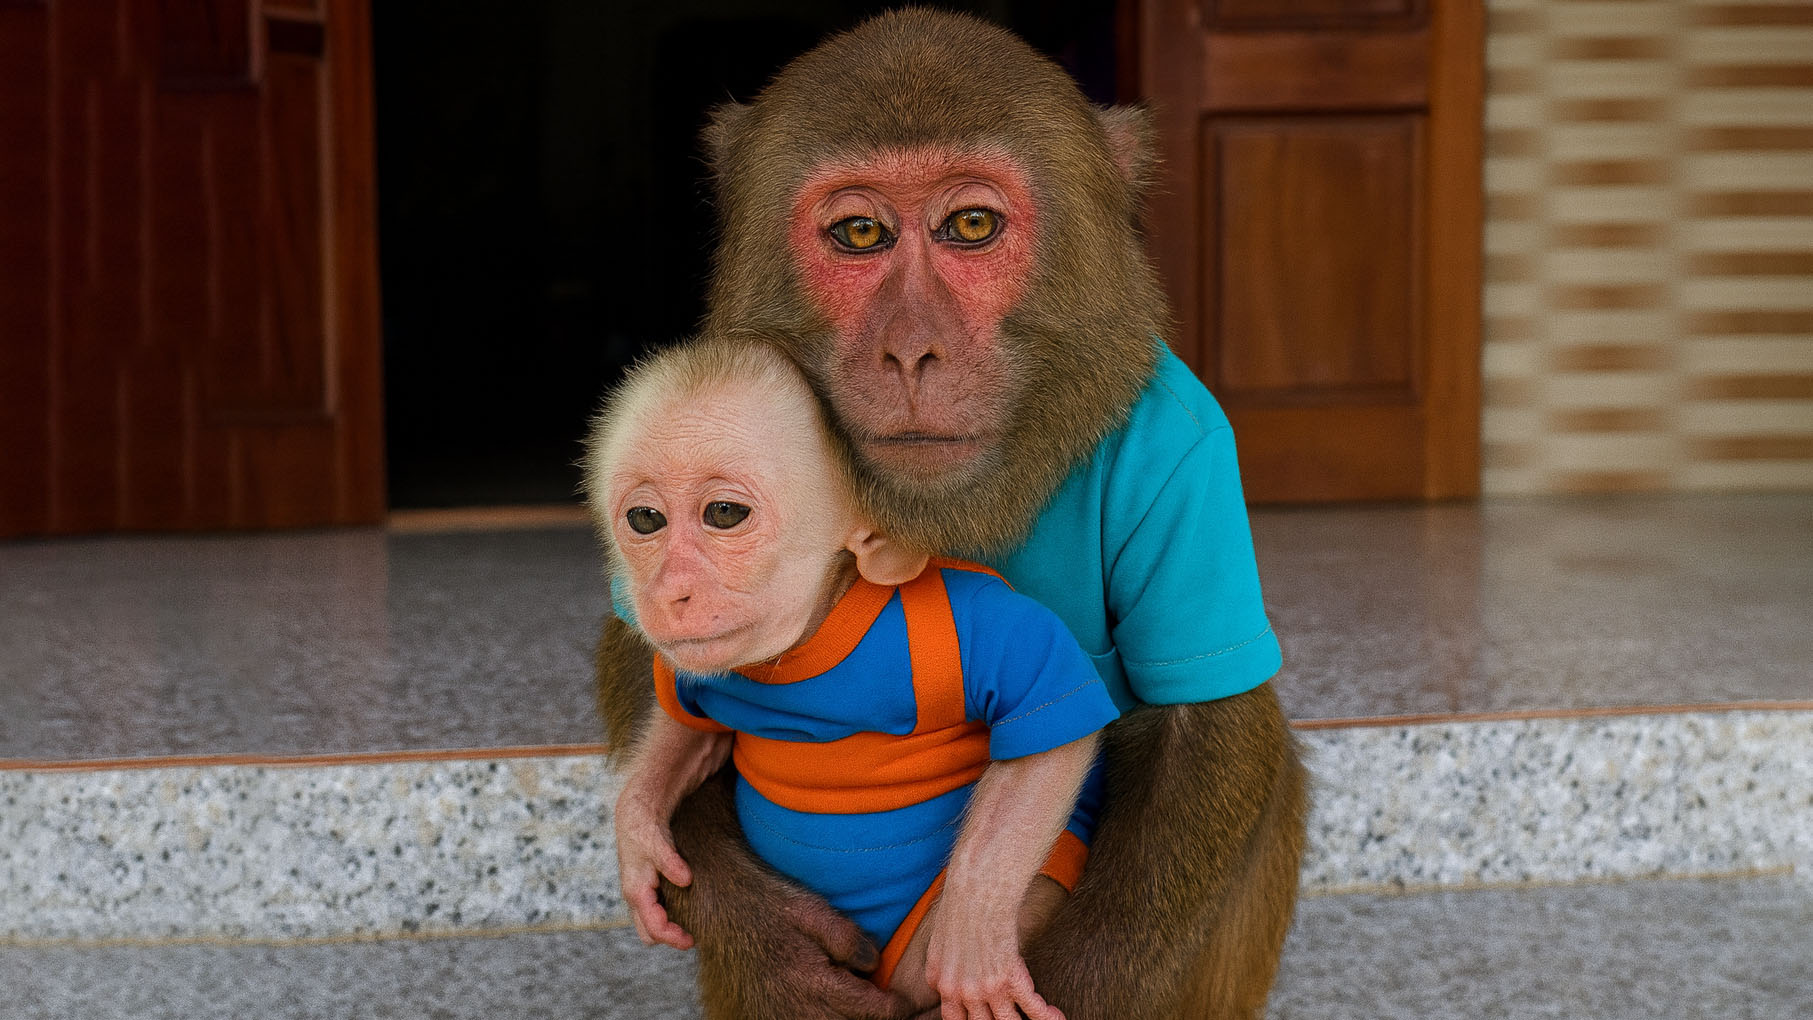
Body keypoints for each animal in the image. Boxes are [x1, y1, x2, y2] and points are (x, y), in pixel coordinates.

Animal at [585, 337, 1121, 1019]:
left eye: (724, 513)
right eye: (646, 520)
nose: (671, 590)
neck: (808, 636)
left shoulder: (967, 616)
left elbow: (1050, 730)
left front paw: (973, 940)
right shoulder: (699, 669)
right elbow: (686, 727)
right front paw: (641, 822)